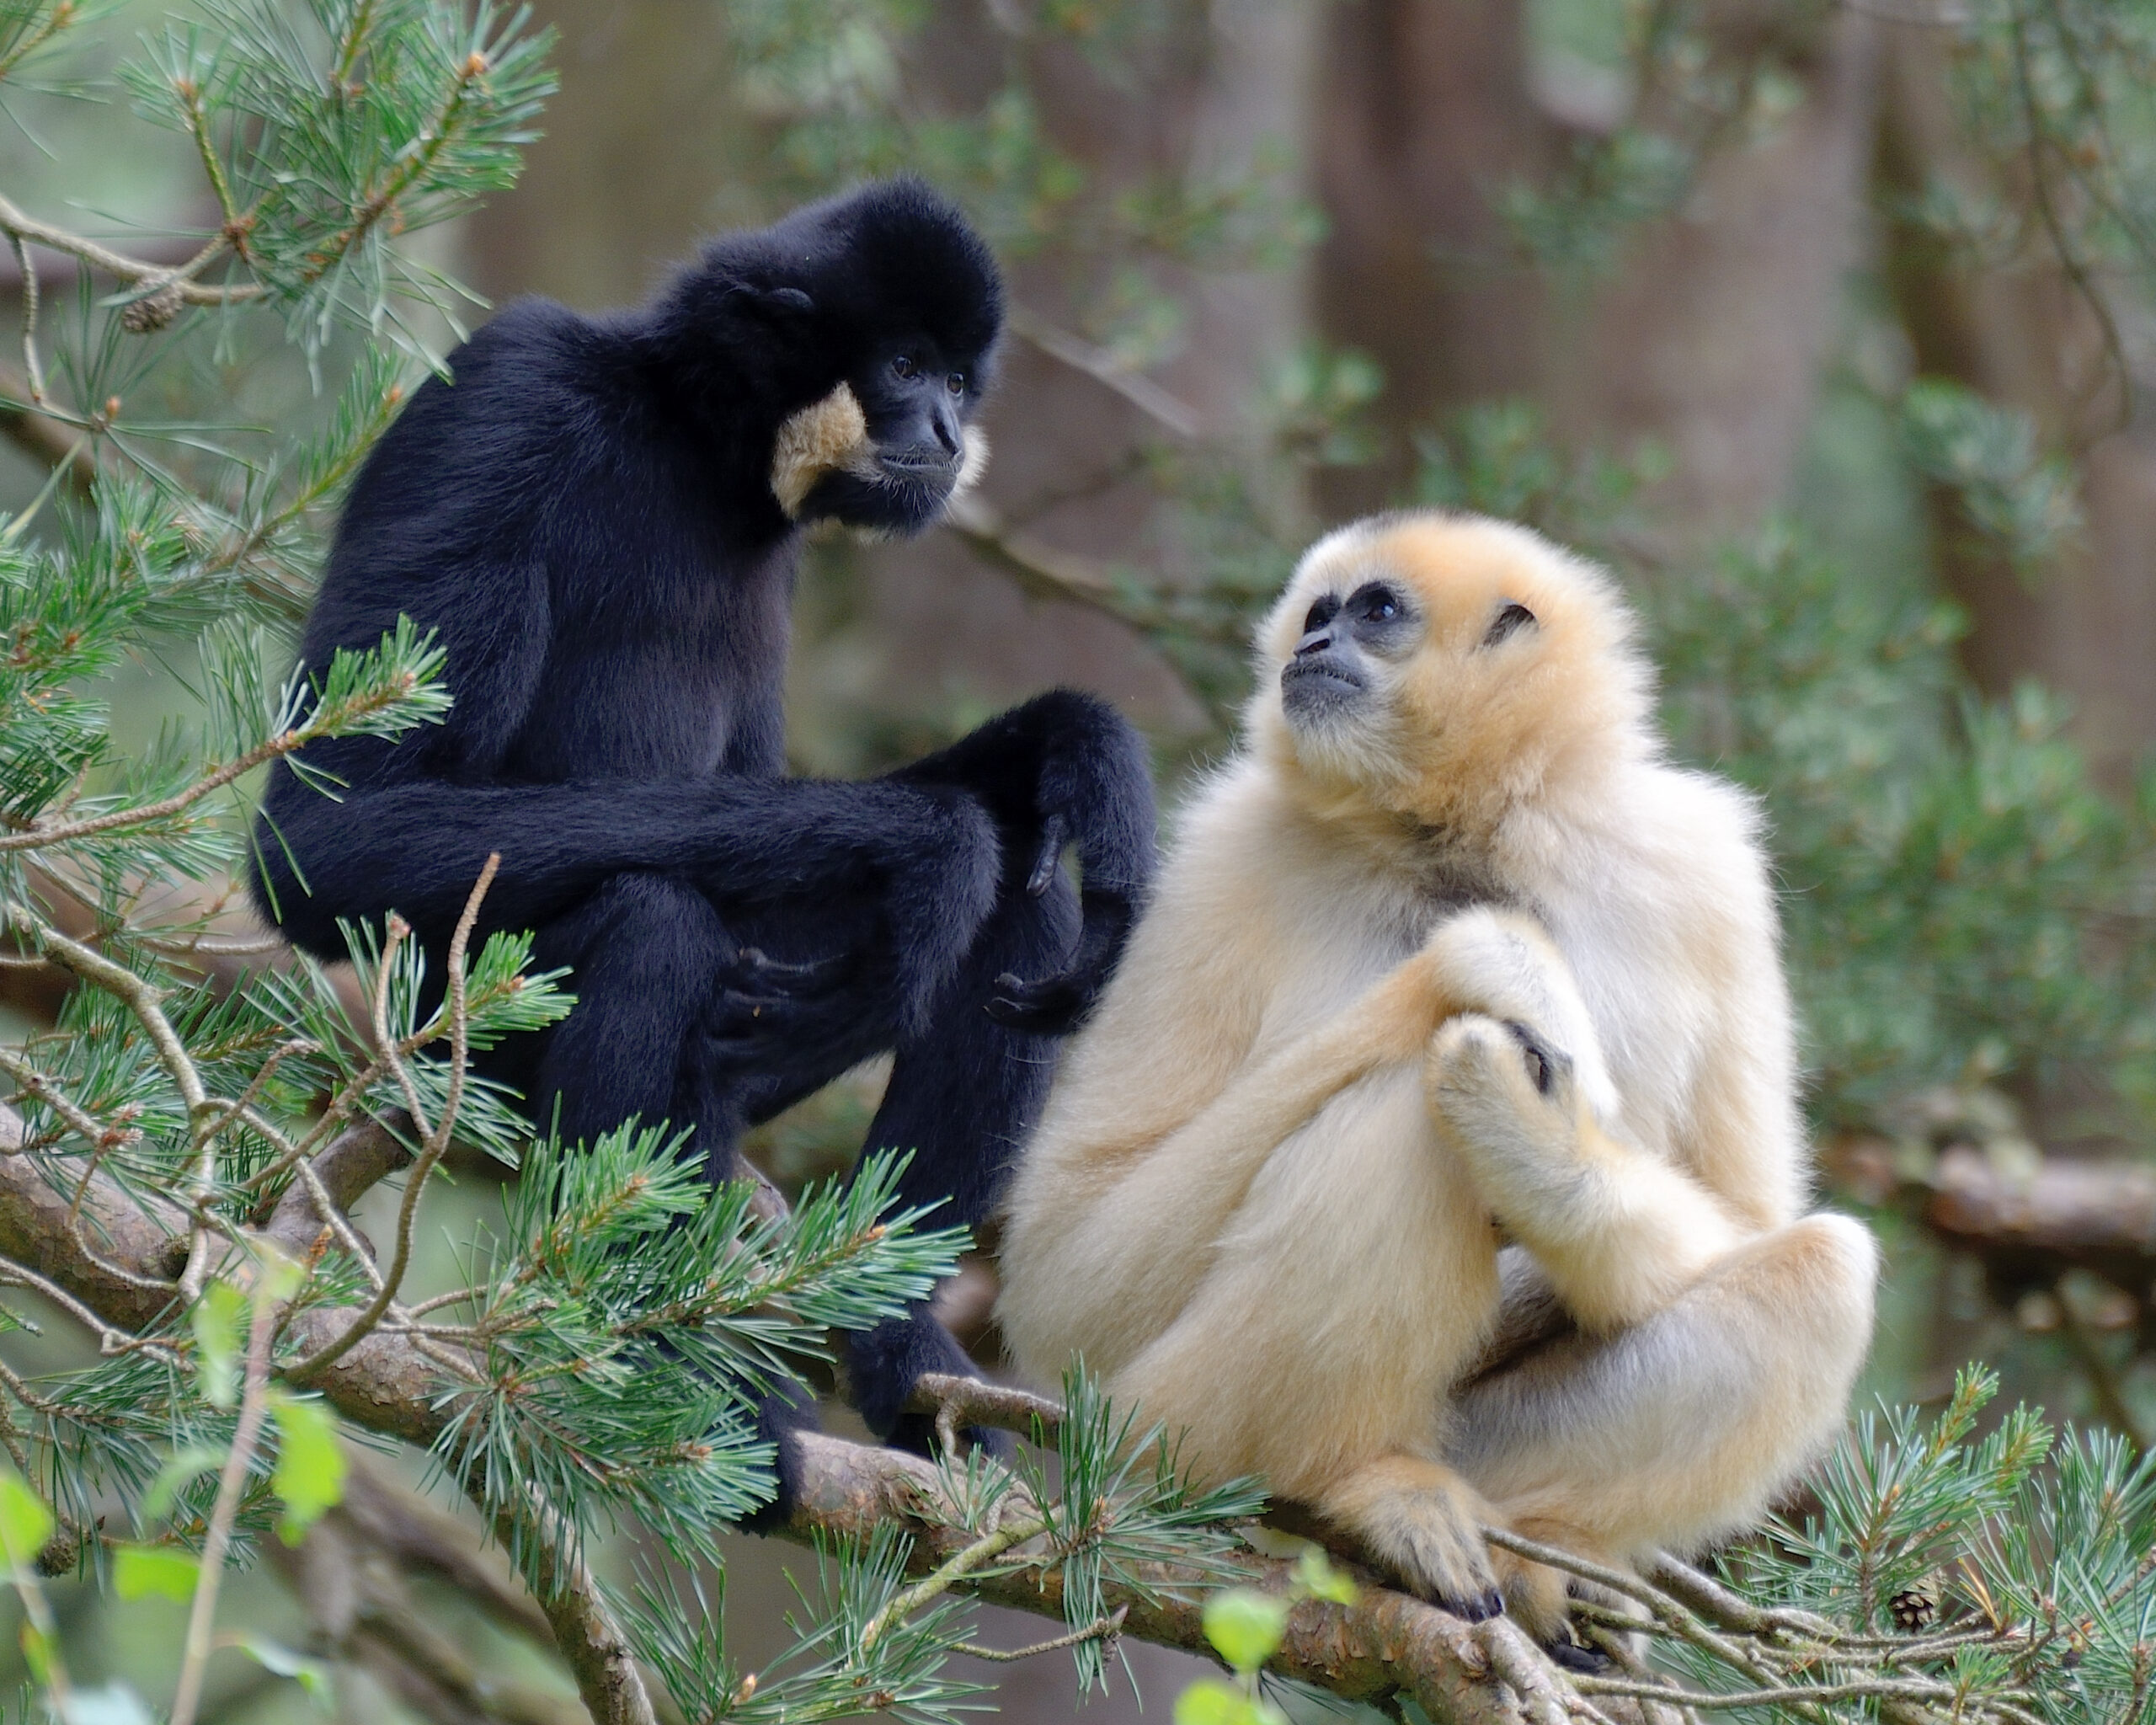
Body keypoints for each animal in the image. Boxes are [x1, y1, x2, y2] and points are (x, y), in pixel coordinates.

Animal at [252, 177, 1156, 1496]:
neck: (687, 439)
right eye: (905, 366)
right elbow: (322, 836)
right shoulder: (503, 389)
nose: (947, 430)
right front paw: (924, 838)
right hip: (453, 1041)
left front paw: (1075, 746)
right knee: (653, 918)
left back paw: (894, 1345)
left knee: (1024, 892)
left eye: (957, 380)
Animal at [995, 509, 1877, 1644]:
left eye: (1374, 610)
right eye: (1316, 613)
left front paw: (1541, 1156)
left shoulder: (1700, 868)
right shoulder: (1219, 855)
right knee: (1393, 1114)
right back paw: (1354, 1482)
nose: (1312, 646)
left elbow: (1743, 1210)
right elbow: (1071, 1269)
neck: (1464, 832)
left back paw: (1551, 1550)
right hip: (1153, 1422)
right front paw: (1494, 963)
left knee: (1822, 1270)